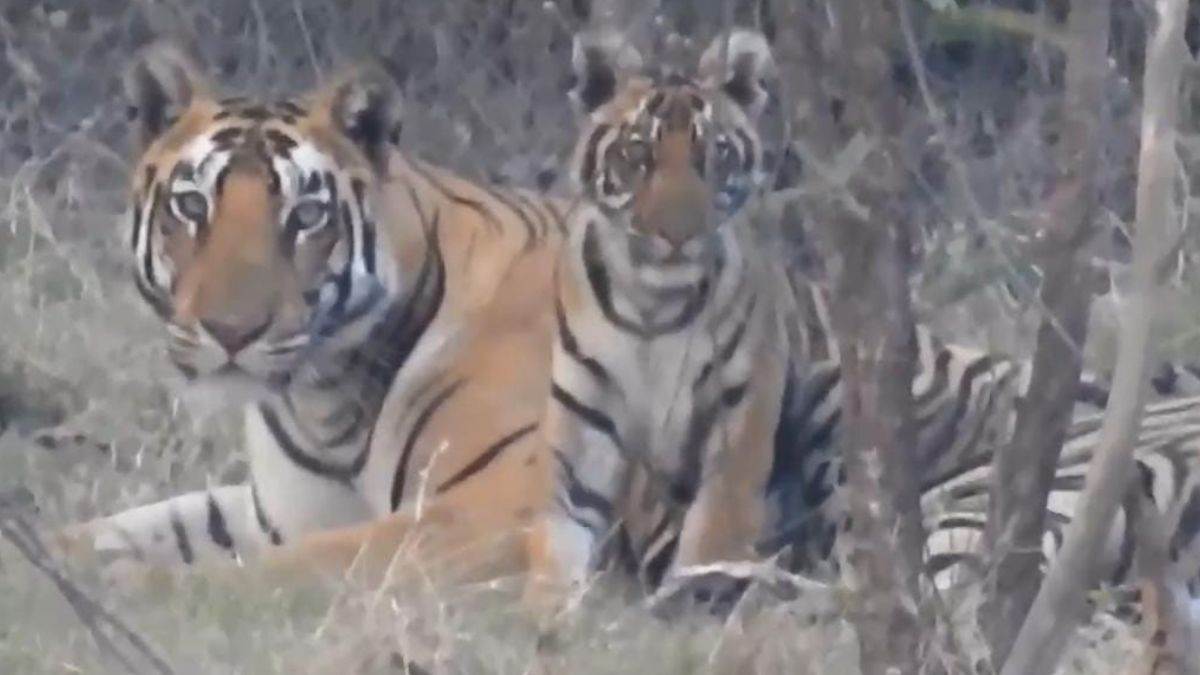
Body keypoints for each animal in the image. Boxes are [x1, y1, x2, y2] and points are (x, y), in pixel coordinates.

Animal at [52, 42, 574, 583]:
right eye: (193, 206)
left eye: (305, 215)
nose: (230, 331)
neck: (323, 404)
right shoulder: (277, 512)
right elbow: (135, 528)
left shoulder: (492, 508)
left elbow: (292, 567)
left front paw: (144, 583)